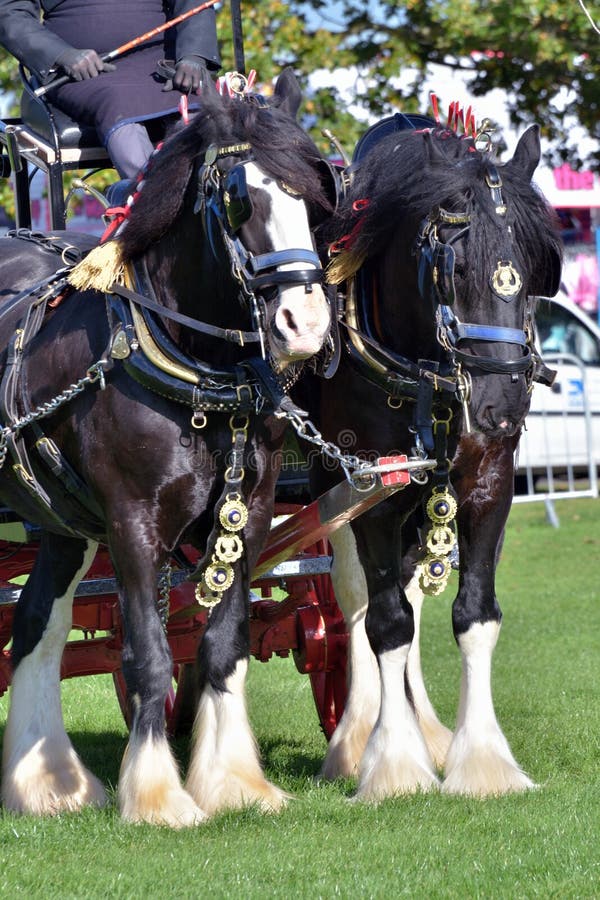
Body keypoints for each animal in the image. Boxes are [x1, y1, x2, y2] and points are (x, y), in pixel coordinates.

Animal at [0, 68, 333, 826]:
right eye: (240, 199)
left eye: (316, 196)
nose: (305, 325)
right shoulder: (131, 521)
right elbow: (147, 655)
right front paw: (157, 795)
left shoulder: (251, 514)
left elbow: (221, 645)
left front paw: (235, 781)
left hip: (57, 519)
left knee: (36, 626)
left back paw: (45, 782)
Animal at [296, 116, 562, 799]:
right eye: (454, 266)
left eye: (532, 268)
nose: (502, 404)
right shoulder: (372, 492)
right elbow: (385, 622)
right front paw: (392, 763)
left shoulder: (490, 483)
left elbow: (473, 616)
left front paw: (481, 761)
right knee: (359, 598)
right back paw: (356, 739)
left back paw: (425, 731)